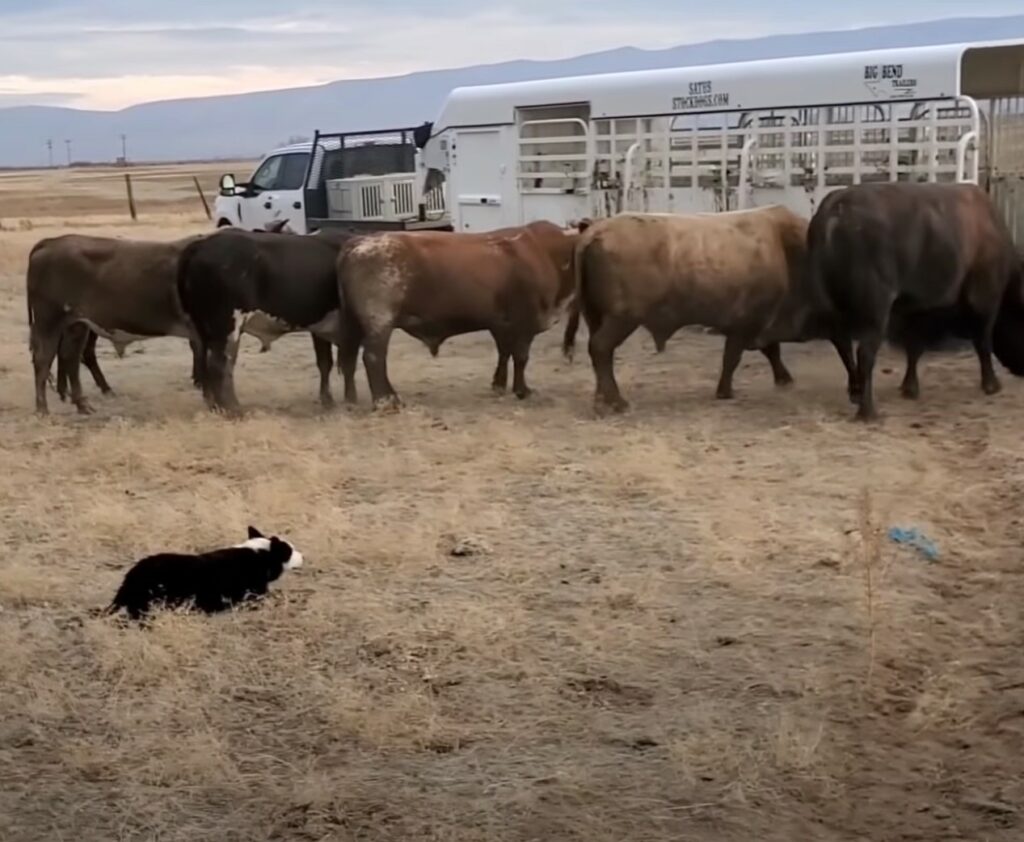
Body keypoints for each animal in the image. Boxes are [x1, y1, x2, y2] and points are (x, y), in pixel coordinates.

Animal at [27, 234, 208, 415]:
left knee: (70, 357)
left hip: (76, 325)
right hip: (49, 322)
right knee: (43, 360)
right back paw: (43, 409)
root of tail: (52, 242)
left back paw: (83, 404)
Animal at [176, 227, 361, 416]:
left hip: (204, 330)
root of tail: (200, 245)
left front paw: (328, 401)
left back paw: (214, 406)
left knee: (204, 362)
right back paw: (234, 409)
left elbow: (325, 363)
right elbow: (349, 365)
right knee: (219, 364)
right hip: (227, 325)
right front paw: (351, 401)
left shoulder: (320, 328)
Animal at [337, 220, 582, 411]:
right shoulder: (525, 322)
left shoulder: (500, 324)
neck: (546, 252)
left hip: (357, 324)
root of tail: (358, 242)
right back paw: (385, 401)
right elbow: (521, 357)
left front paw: (499, 385)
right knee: (374, 357)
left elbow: (504, 353)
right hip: (379, 321)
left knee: (355, 358)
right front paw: (522, 390)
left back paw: (366, 399)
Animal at [561, 206, 856, 414]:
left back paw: (602, 399)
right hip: (621, 319)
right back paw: (615, 402)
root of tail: (593, 233)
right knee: (601, 348)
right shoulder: (746, 324)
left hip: (596, 316)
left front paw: (783, 379)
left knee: (601, 355)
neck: (788, 252)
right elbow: (734, 357)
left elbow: (768, 351)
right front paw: (725, 390)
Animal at [806, 182, 1024, 421]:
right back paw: (868, 411)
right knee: (864, 353)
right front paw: (992, 384)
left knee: (843, 345)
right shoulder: (984, 300)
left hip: (833, 307)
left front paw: (909, 388)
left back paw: (856, 392)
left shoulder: (917, 309)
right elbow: (983, 341)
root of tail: (838, 208)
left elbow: (914, 347)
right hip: (876, 312)